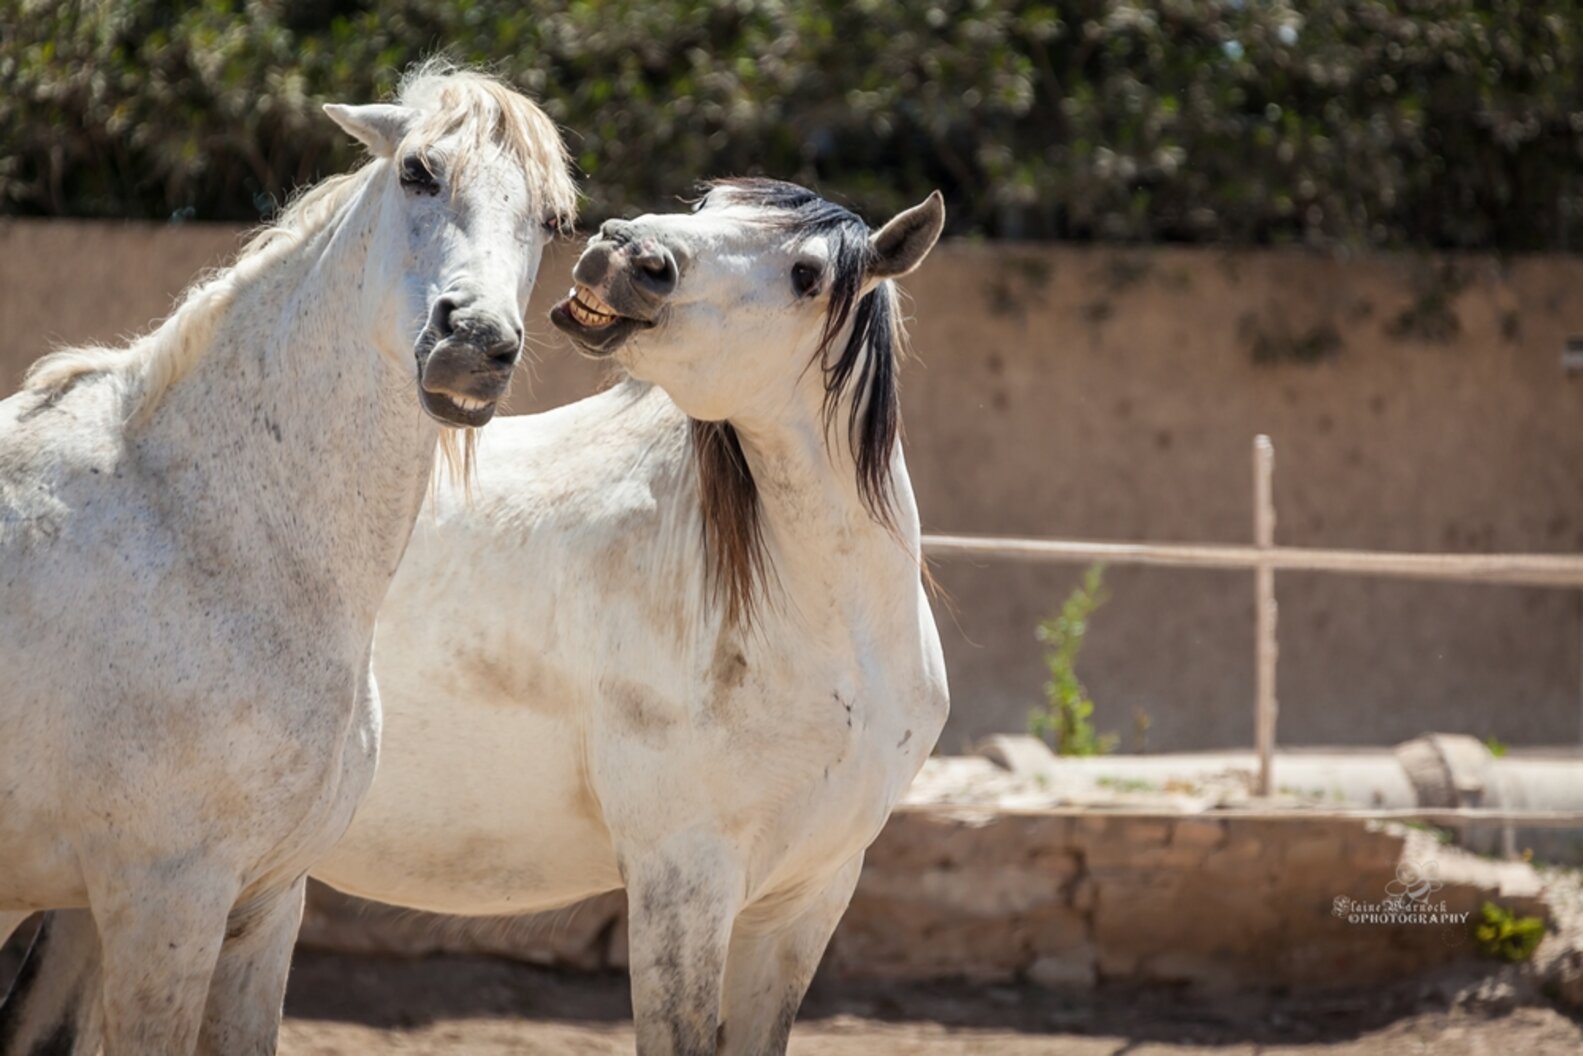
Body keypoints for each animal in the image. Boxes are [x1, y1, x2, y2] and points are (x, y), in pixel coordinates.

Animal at [0, 65, 575, 1055]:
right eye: (418, 171)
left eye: (552, 219)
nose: (474, 345)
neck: (206, 534)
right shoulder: (165, 905)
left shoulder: (263, 907)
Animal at [310, 178, 950, 1054]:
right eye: (708, 204)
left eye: (807, 275)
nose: (624, 254)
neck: (835, 638)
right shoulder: (683, 886)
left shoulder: (808, 896)